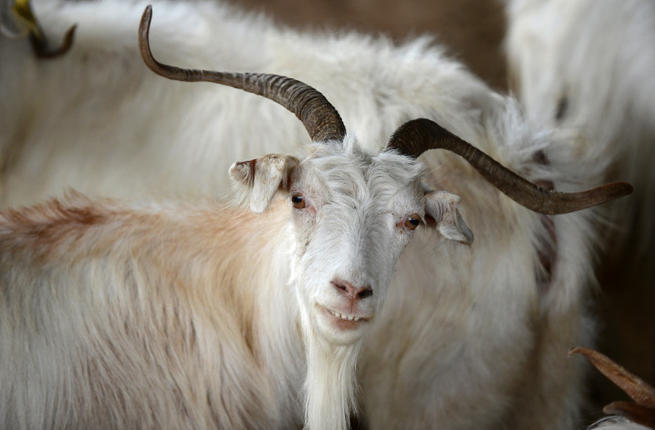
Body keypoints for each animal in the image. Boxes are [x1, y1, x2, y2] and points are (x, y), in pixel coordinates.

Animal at [0, 2, 633, 428]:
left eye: (411, 221)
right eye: (298, 198)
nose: (350, 291)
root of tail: (534, 167)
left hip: (441, 393)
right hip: (549, 382)